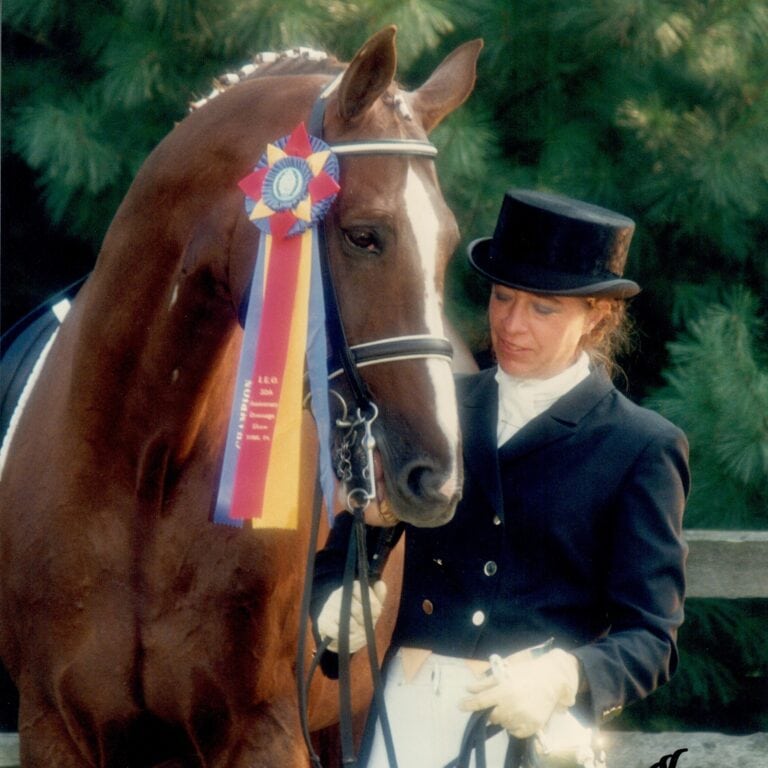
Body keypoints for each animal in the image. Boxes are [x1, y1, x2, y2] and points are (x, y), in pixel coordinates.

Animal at [0, 26, 482, 767]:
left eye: (449, 243)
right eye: (364, 235)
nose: (437, 476)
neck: (146, 468)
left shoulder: (266, 734)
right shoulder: (52, 727)